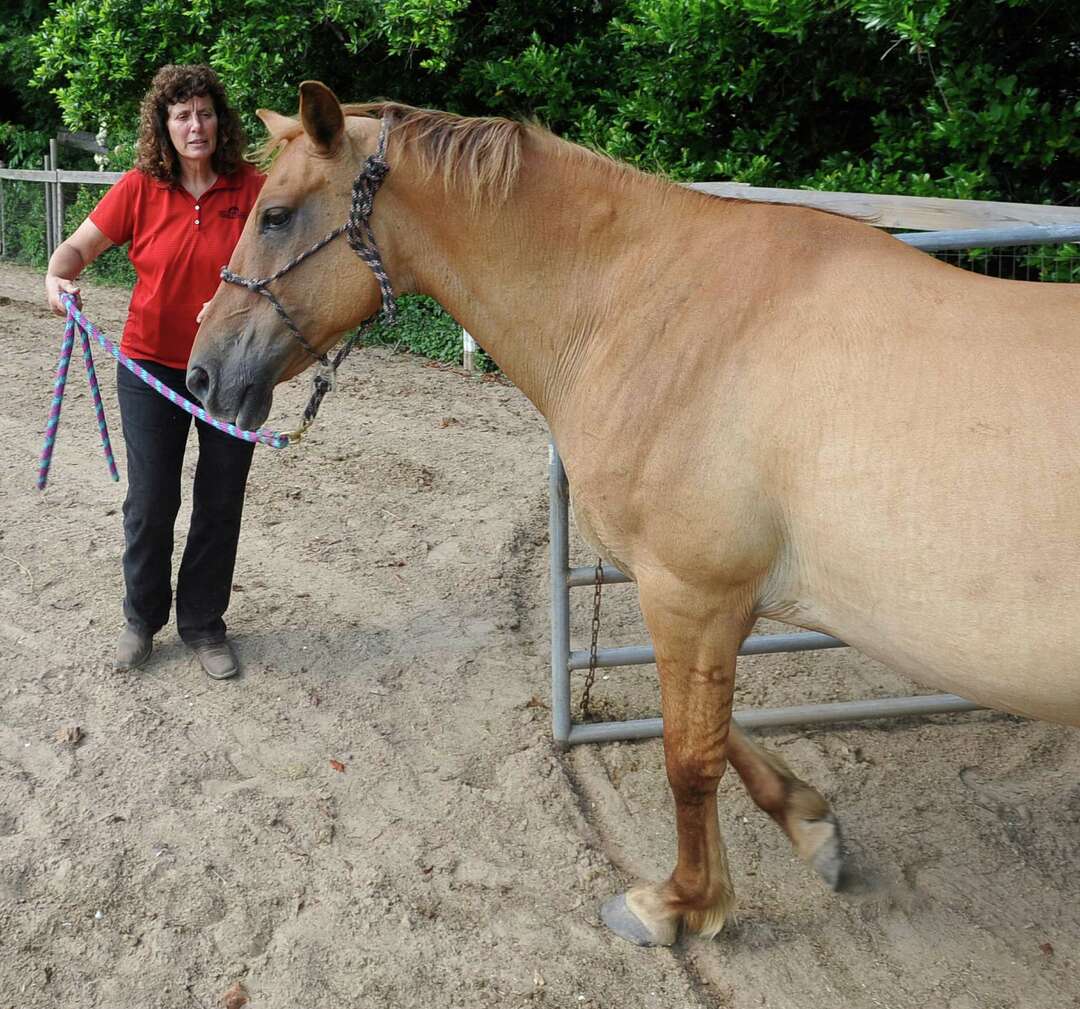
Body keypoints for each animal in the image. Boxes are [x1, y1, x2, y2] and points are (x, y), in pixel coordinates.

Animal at [188, 81, 1080, 948]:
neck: (657, 311)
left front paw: (678, 903)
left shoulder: (690, 593)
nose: (202, 374)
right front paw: (808, 822)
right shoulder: (708, 601)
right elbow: (710, 725)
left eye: (275, 215)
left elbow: (690, 756)